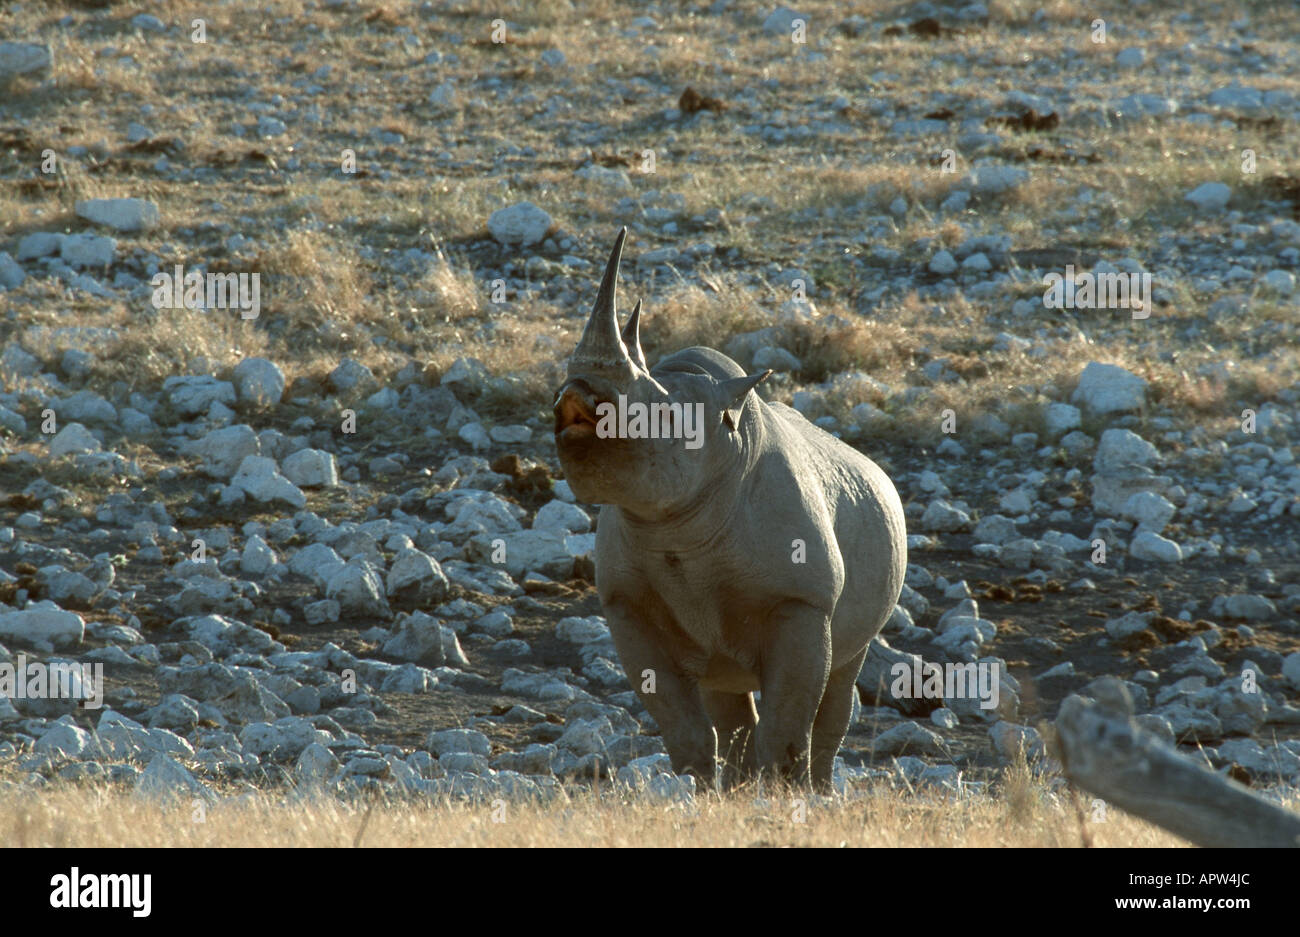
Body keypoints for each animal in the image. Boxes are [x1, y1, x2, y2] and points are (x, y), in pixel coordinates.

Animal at [553, 229, 907, 791]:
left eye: (665, 416)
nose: (578, 393)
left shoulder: (801, 601)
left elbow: (788, 722)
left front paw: (784, 792)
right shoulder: (625, 604)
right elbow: (681, 723)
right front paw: (694, 788)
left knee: (841, 680)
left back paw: (819, 789)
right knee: (725, 692)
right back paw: (738, 788)